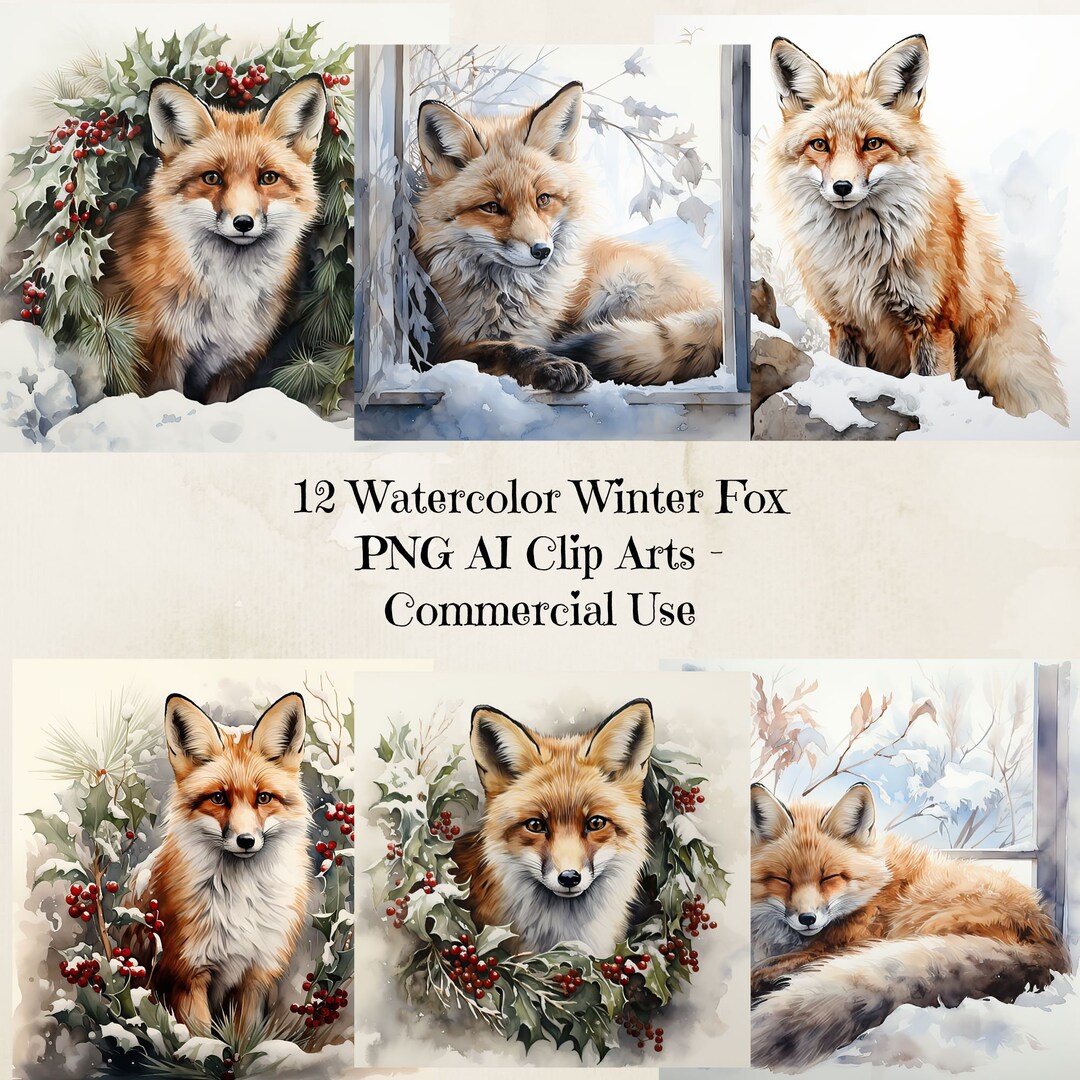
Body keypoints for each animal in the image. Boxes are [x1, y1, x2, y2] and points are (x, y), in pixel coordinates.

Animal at [98, 74, 327, 403]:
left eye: (268, 178)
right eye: (212, 178)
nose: (243, 222)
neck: (229, 292)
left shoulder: (236, 360)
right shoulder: (160, 354)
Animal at [129, 693, 312, 1035]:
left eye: (263, 798)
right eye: (218, 798)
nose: (245, 841)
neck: (242, 901)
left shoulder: (254, 978)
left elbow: (244, 1040)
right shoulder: (187, 977)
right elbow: (203, 1043)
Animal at [413, 81, 724, 392]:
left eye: (543, 199)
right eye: (491, 207)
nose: (541, 250)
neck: (508, 298)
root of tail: (715, 303)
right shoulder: (441, 348)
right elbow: (506, 349)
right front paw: (549, 365)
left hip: (617, 290)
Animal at [749, 782, 1069, 1071]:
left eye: (829, 877)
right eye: (783, 880)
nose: (807, 919)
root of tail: (1049, 945)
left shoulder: (845, 944)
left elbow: (766, 968)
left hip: (919, 915)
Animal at [767, 35, 1069, 425]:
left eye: (873, 143)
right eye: (820, 144)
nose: (842, 187)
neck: (858, 256)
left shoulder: (930, 321)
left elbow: (933, 389)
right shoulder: (843, 324)